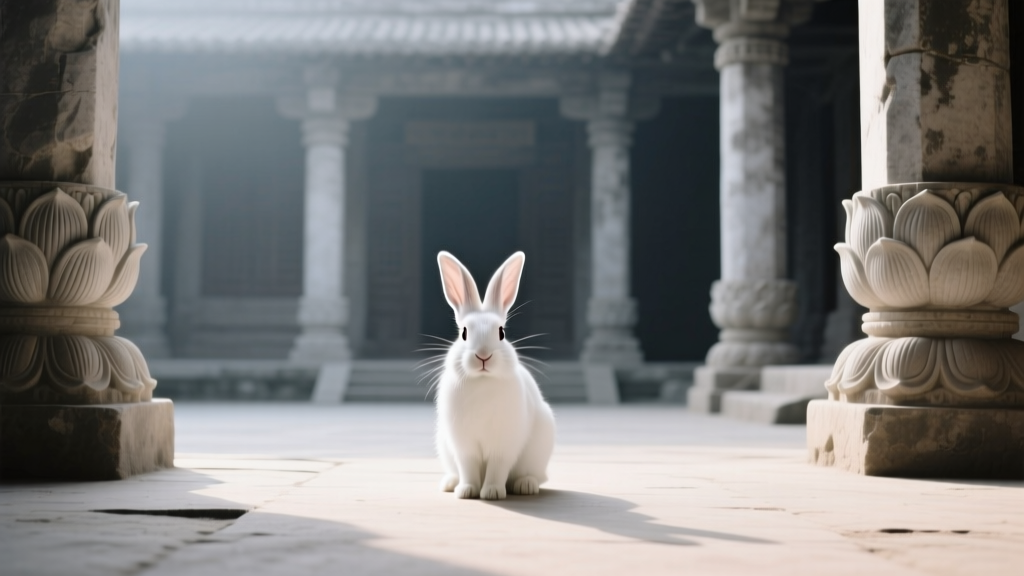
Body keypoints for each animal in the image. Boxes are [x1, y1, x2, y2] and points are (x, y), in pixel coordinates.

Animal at [433, 250, 556, 500]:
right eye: (464, 333)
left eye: (501, 332)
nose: (483, 356)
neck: (483, 381)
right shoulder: (464, 446)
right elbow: (468, 467)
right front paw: (467, 491)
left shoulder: (503, 446)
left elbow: (497, 469)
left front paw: (492, 493)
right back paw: (450, 483)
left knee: (535, 476)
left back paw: (525, 485)